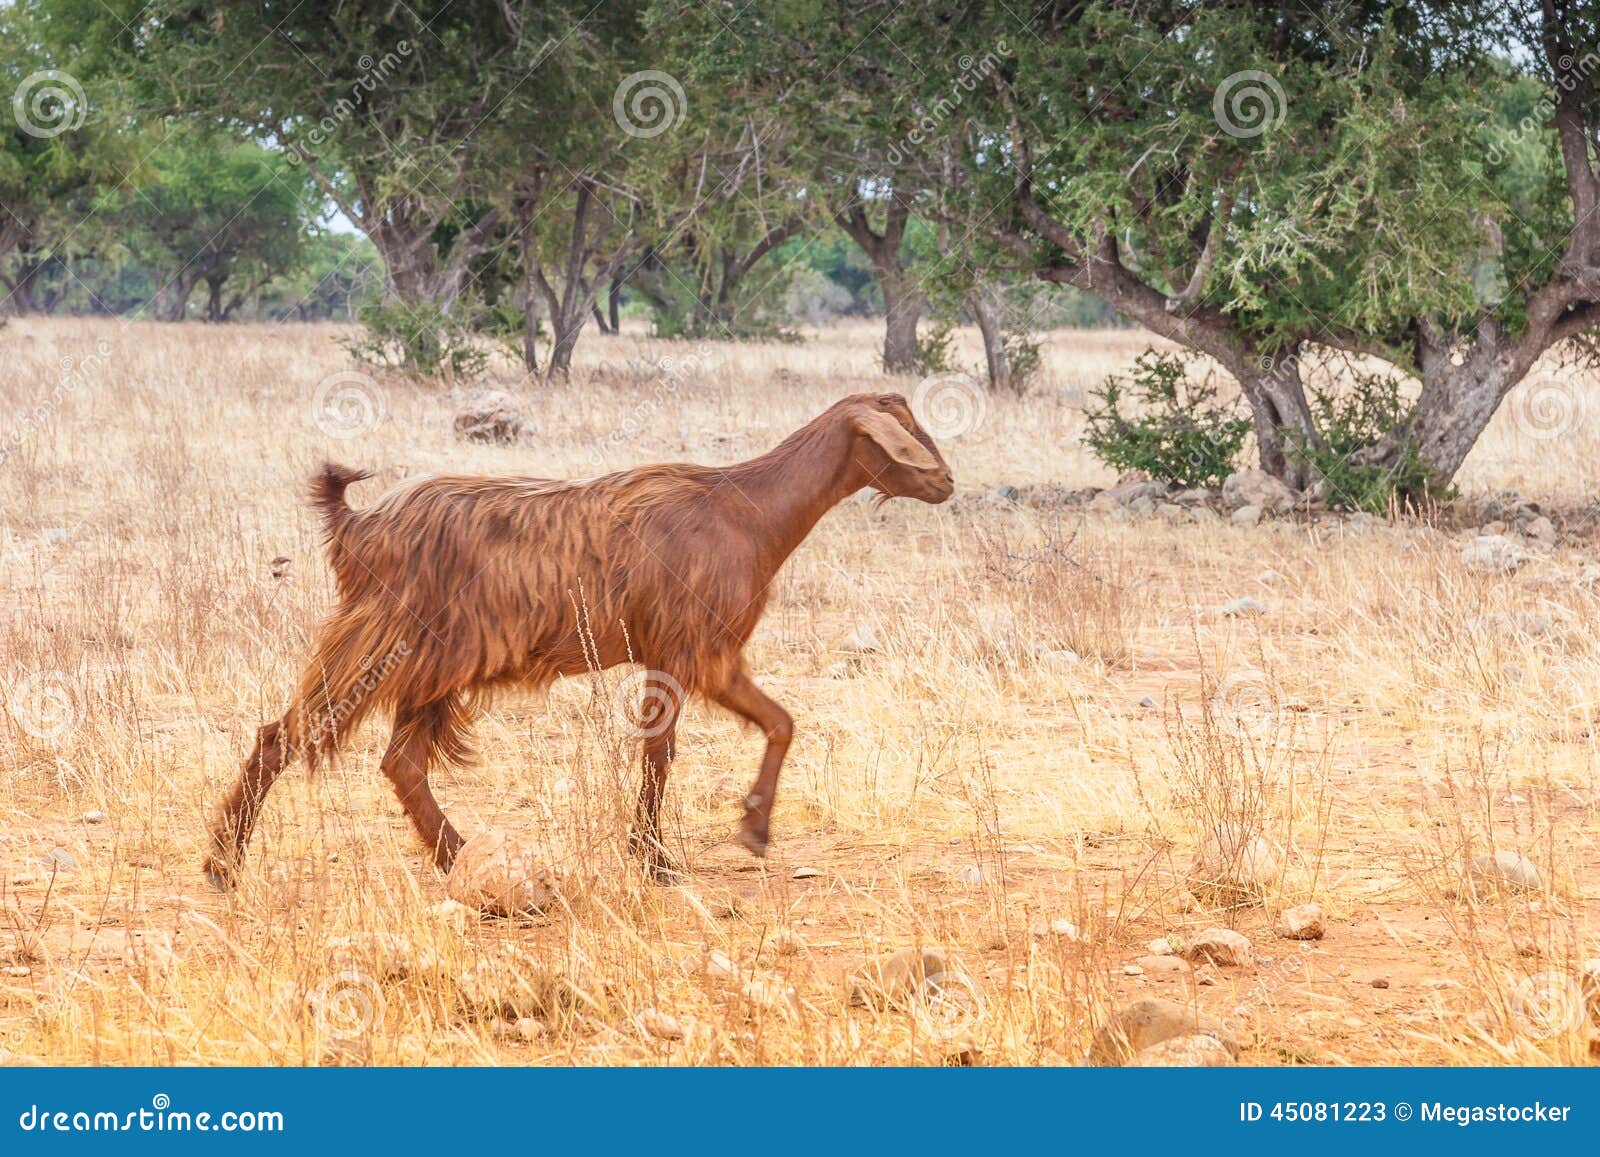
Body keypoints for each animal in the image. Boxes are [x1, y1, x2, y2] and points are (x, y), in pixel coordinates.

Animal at [204, 392, 954, 885]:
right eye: (904, 431)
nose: (946, 481)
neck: (746, 508)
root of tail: (356, 525)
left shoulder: (673, 656)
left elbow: (748, 730)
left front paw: (716, 836)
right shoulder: (697, 651)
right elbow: (703, 743)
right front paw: (692, 848)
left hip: (430, 666)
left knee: (400, 763)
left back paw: (456, 855)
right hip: (380, 645)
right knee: (283, 735)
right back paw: (222, 863)